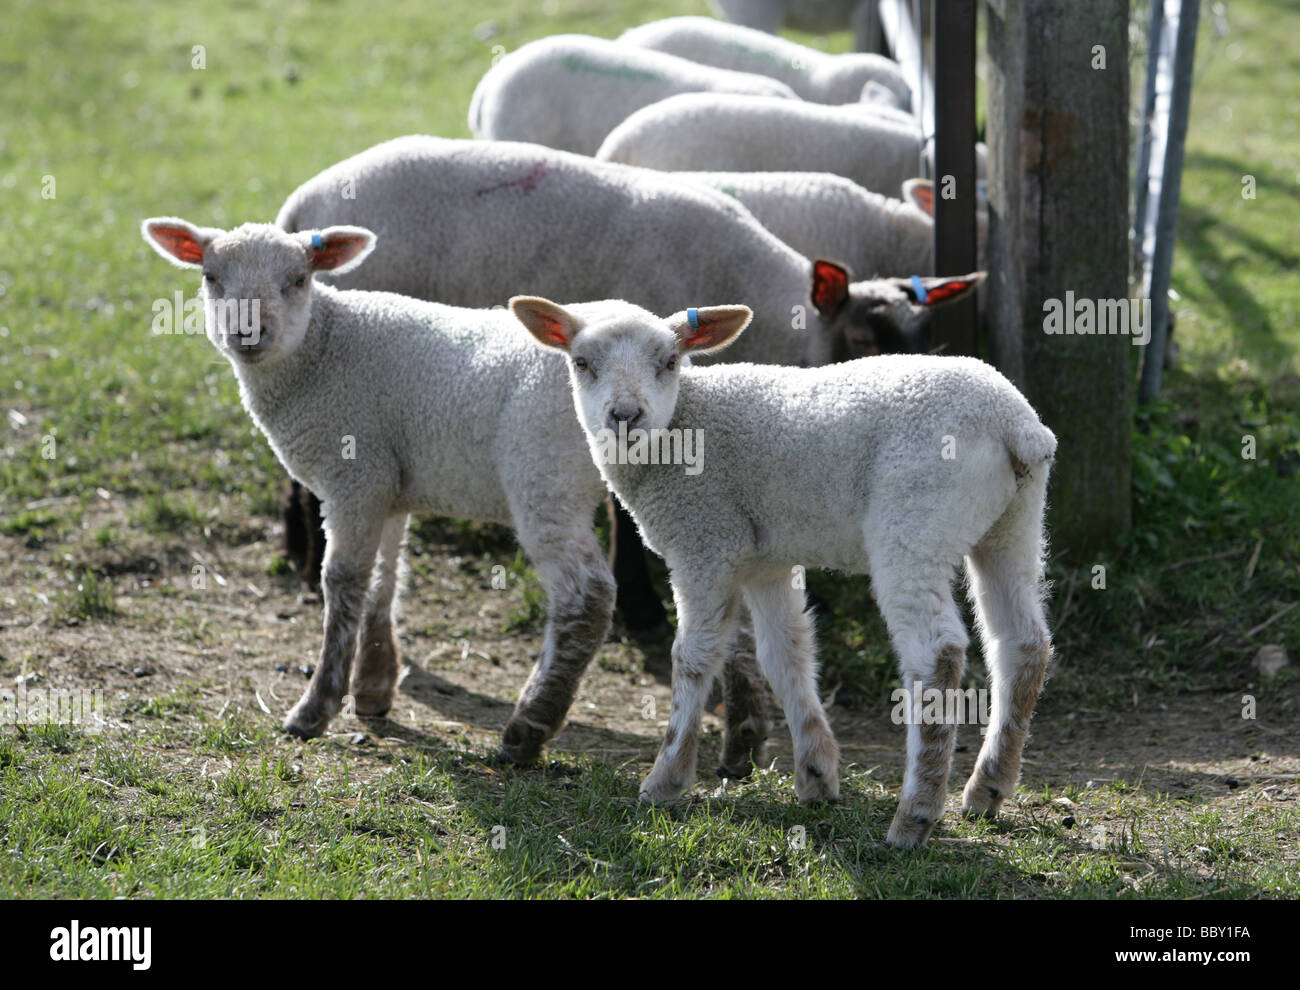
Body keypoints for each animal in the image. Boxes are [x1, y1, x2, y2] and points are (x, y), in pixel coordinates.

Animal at [139, 216, 685, 765]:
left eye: (297, 279)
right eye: (210, 277)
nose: (248, 333)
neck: (323, 349)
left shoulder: (353, 476)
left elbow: (342, 583)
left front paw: (316, 708)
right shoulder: (386, 481)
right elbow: (384, 577)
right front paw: (374, 686)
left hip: (546, 479)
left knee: (586, 598)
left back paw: (528, 728)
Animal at [512, 294, 1055, 848]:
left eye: (669, 362)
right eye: (582, 363)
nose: (625, 416)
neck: (683, 426)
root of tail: (1014, 425)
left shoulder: (703, 539)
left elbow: (693, 658)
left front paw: (665, 780)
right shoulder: (765, 561)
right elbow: (785, 653)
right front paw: (816, 775)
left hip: (914, 523)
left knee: (937, 655)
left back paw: (915, 815)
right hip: (1013, 525)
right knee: (1023, 643)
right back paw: (988, 788)